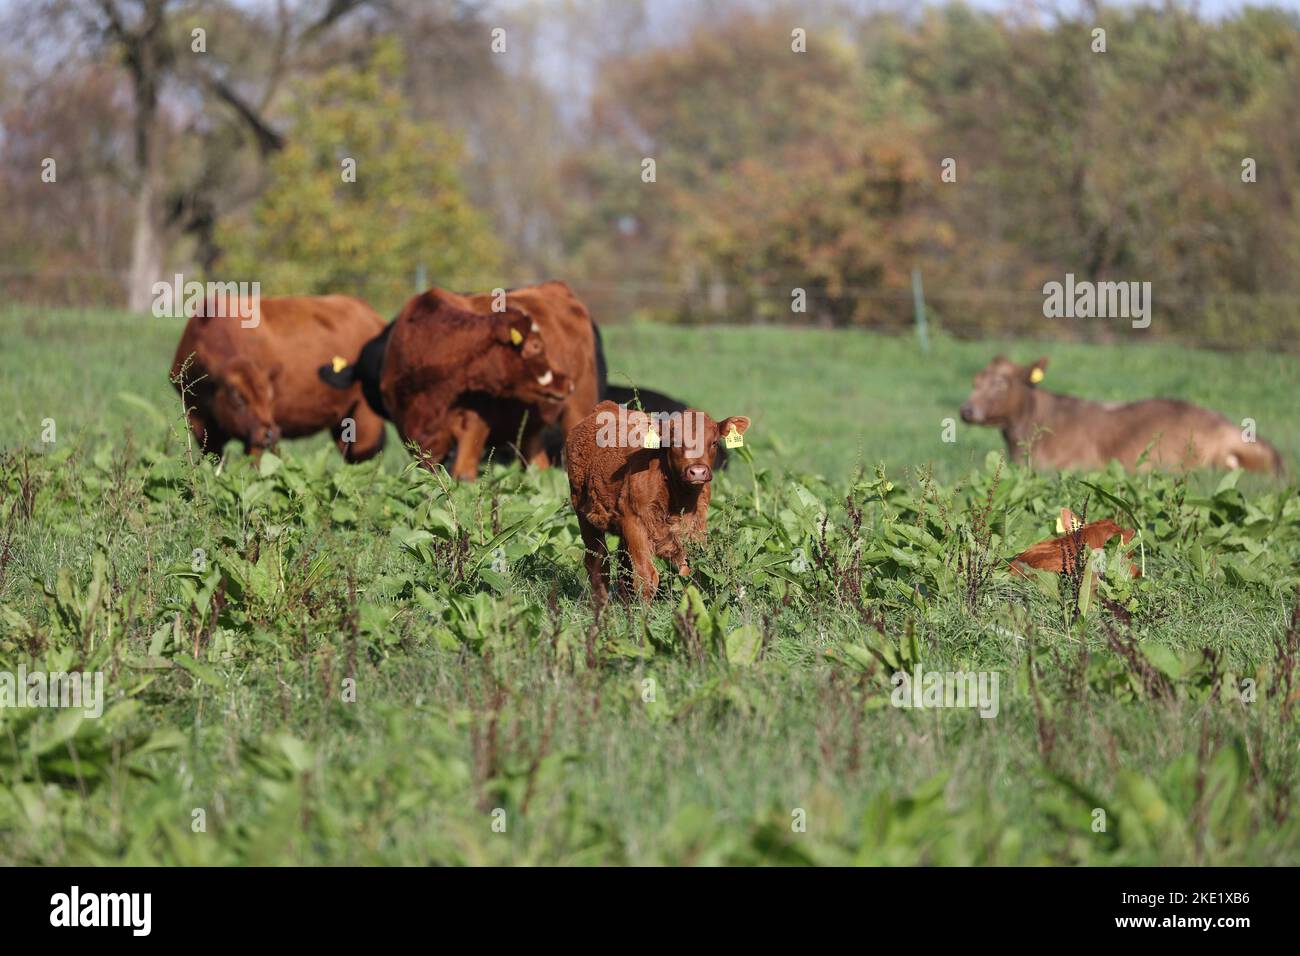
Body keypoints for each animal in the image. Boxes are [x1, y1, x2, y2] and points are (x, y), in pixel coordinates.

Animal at [171, 294, 388, 460]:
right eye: (237, 397)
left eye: (269, 395)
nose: (271, 434)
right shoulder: (201, 424)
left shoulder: (256, 435)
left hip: (365, 420)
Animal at [566, 400, 751, 603]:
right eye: (675, 442)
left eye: (715, 442)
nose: (698, 472)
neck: (679, 499)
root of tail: (606, 407)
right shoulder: (635, 523)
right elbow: (646, 577)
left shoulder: (697, 527)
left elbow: (692, 574)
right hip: (584, 512)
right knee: (598, 564)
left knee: (623, 567)